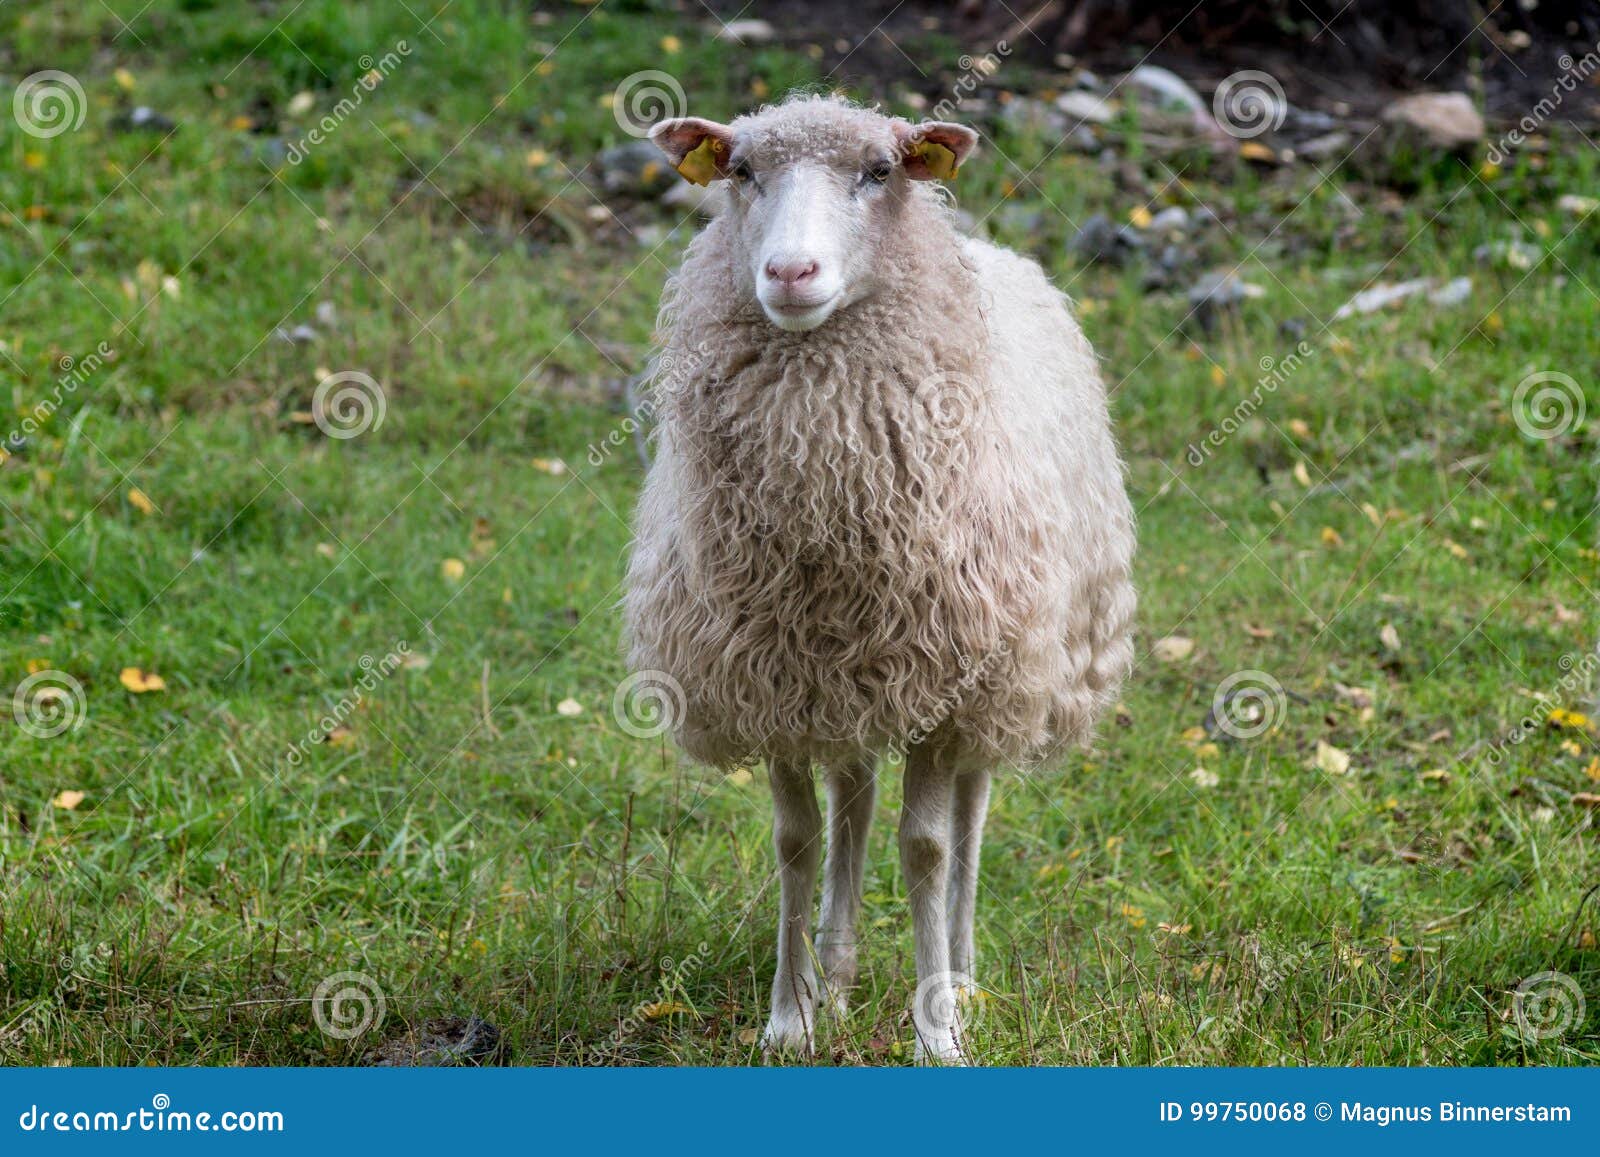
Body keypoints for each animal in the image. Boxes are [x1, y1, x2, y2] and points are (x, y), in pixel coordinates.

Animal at [623, 94, 1136, 1063]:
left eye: (880, 171)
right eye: (741, 171)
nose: (791, 271)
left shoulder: (948, 677)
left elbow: (928, 847)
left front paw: (937, 1032)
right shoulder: (771, 678)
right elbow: (796, 839)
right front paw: (788, 1017)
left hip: (1003, 665)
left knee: (970, 811)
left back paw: (962, 975)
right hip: (849, 670)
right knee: (853, 801)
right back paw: (839, 974)